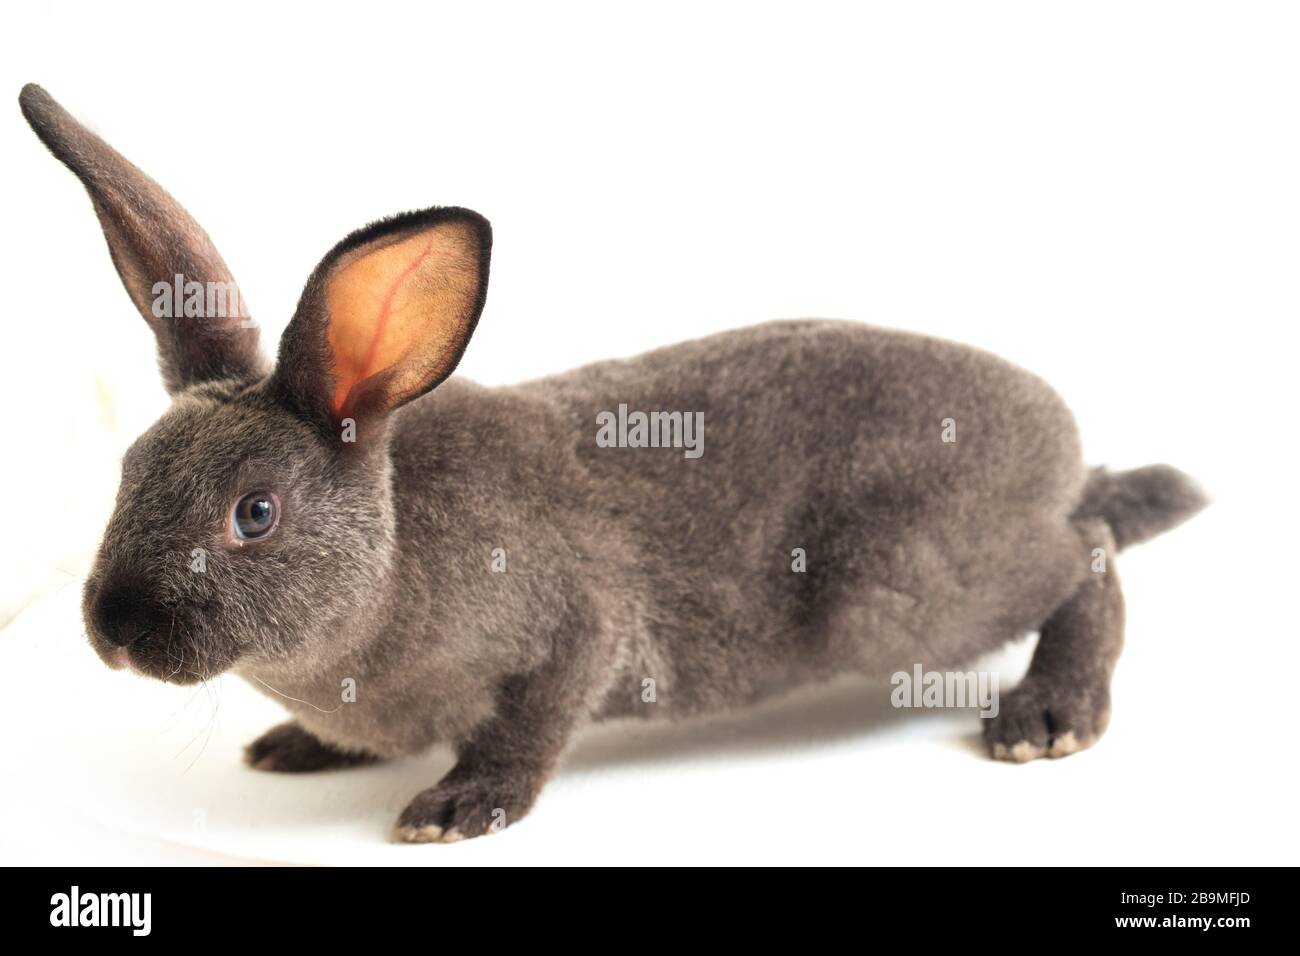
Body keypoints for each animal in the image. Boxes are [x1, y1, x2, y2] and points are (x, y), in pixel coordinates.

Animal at [20, 83, 1207, 843]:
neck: (388, 558)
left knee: (1087, 552)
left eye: (254, 514)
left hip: (897, 591)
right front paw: (298, 746)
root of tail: (1063, 448)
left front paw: (459, 809)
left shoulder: (575, 631)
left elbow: (535, 722)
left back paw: (1048, 715)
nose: (114, 630)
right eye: (127, 473)